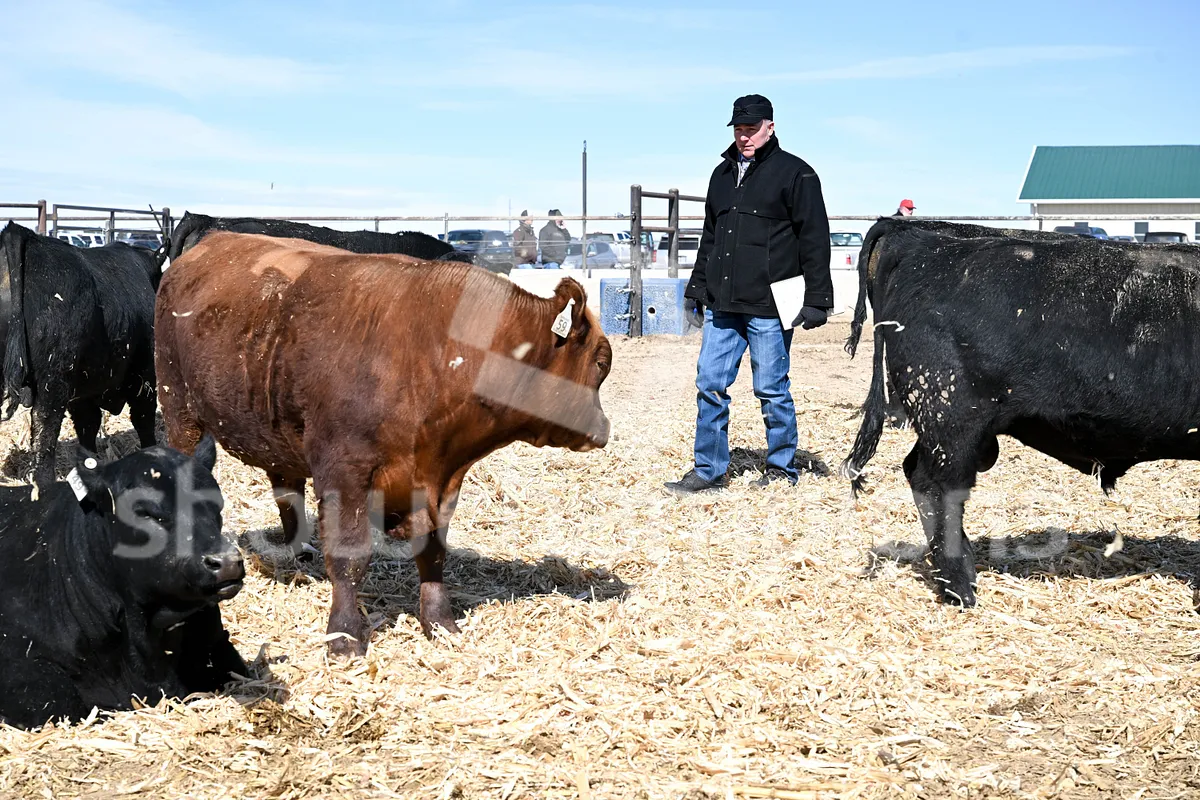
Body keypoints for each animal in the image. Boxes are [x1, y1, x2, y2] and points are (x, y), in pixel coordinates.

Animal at [0, 221, 162, 489]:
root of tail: (23, 234)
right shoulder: (144, 373)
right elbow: (143, 418)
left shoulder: (84, 386)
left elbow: (87, 424)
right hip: (54, 378)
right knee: (45, 426)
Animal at [155, 232, 611, 656]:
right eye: (601, 362)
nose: (603, 428)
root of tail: (207, 245)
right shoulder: (344, 471)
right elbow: (349, 557)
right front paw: (343, 636)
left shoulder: (440, 478)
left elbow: (433, 550)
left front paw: (440, 623)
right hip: (179, 412)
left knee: (287, 493)